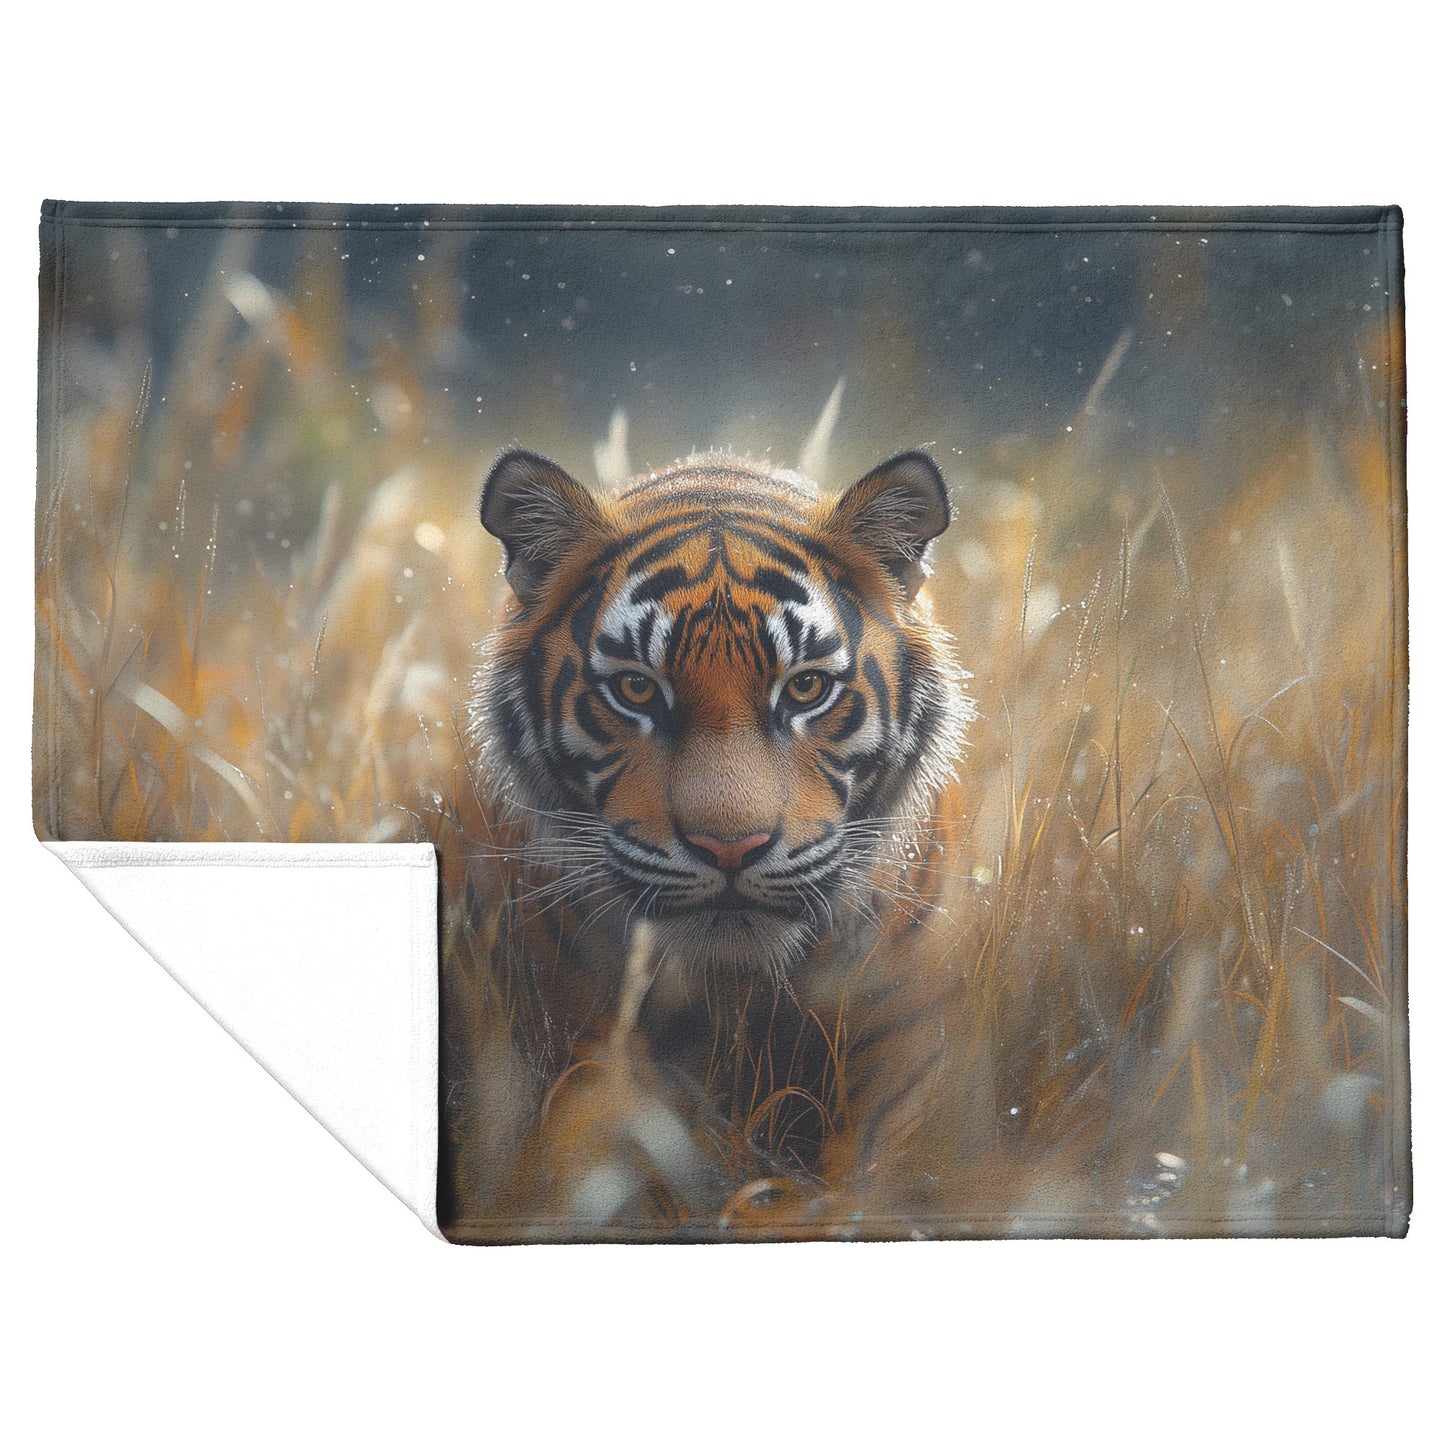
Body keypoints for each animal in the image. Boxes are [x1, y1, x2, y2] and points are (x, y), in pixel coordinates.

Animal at [461, 446, 974, 1233]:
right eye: (637, 690)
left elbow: (866, 1179)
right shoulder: (578, 1034)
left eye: (805, 689)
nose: (730, 847)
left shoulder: (900, 1037)